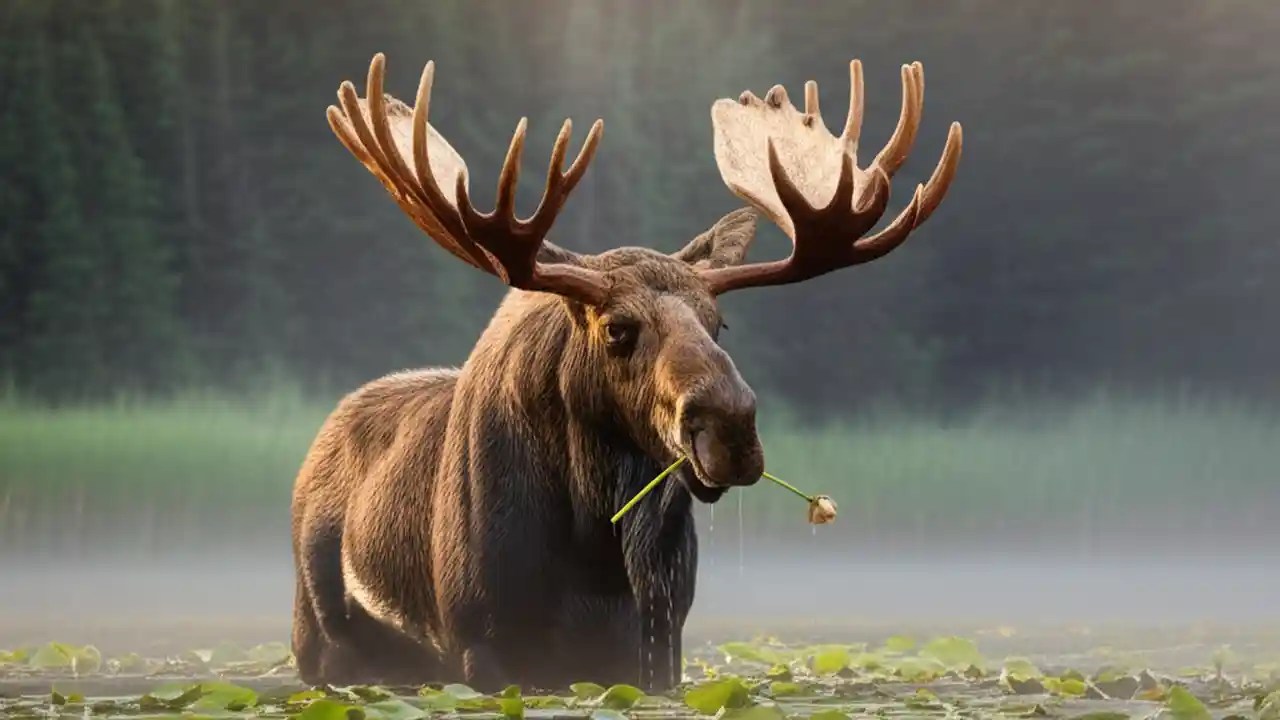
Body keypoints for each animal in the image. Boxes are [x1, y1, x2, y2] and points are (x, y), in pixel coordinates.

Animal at [291, 52, 961, 692]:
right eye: (616, 328)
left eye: (719, 323)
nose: (731, 428)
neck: (594, 553)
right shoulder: (480, 643)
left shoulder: (658, 642)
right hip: (320, 638)